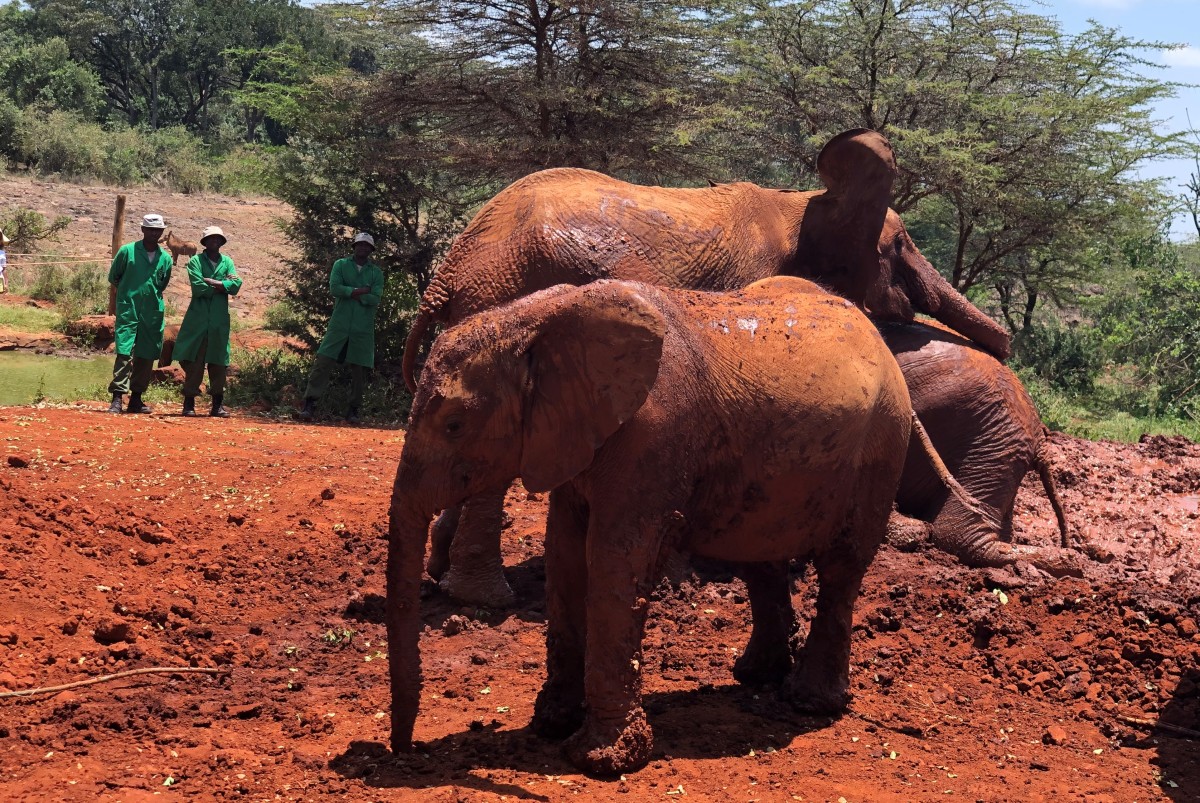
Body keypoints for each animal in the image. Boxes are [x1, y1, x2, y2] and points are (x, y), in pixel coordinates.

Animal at [387, 276, 981, 773]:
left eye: (454, 424)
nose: (403, 751)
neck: (541, 315)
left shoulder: (652, 435)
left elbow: (614, 557)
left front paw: (603, 761)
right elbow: (565, 554)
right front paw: (549, 726)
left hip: (880, 448)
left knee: (841, 568)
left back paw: (809, 702)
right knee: (762, 560)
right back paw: (755, 677)